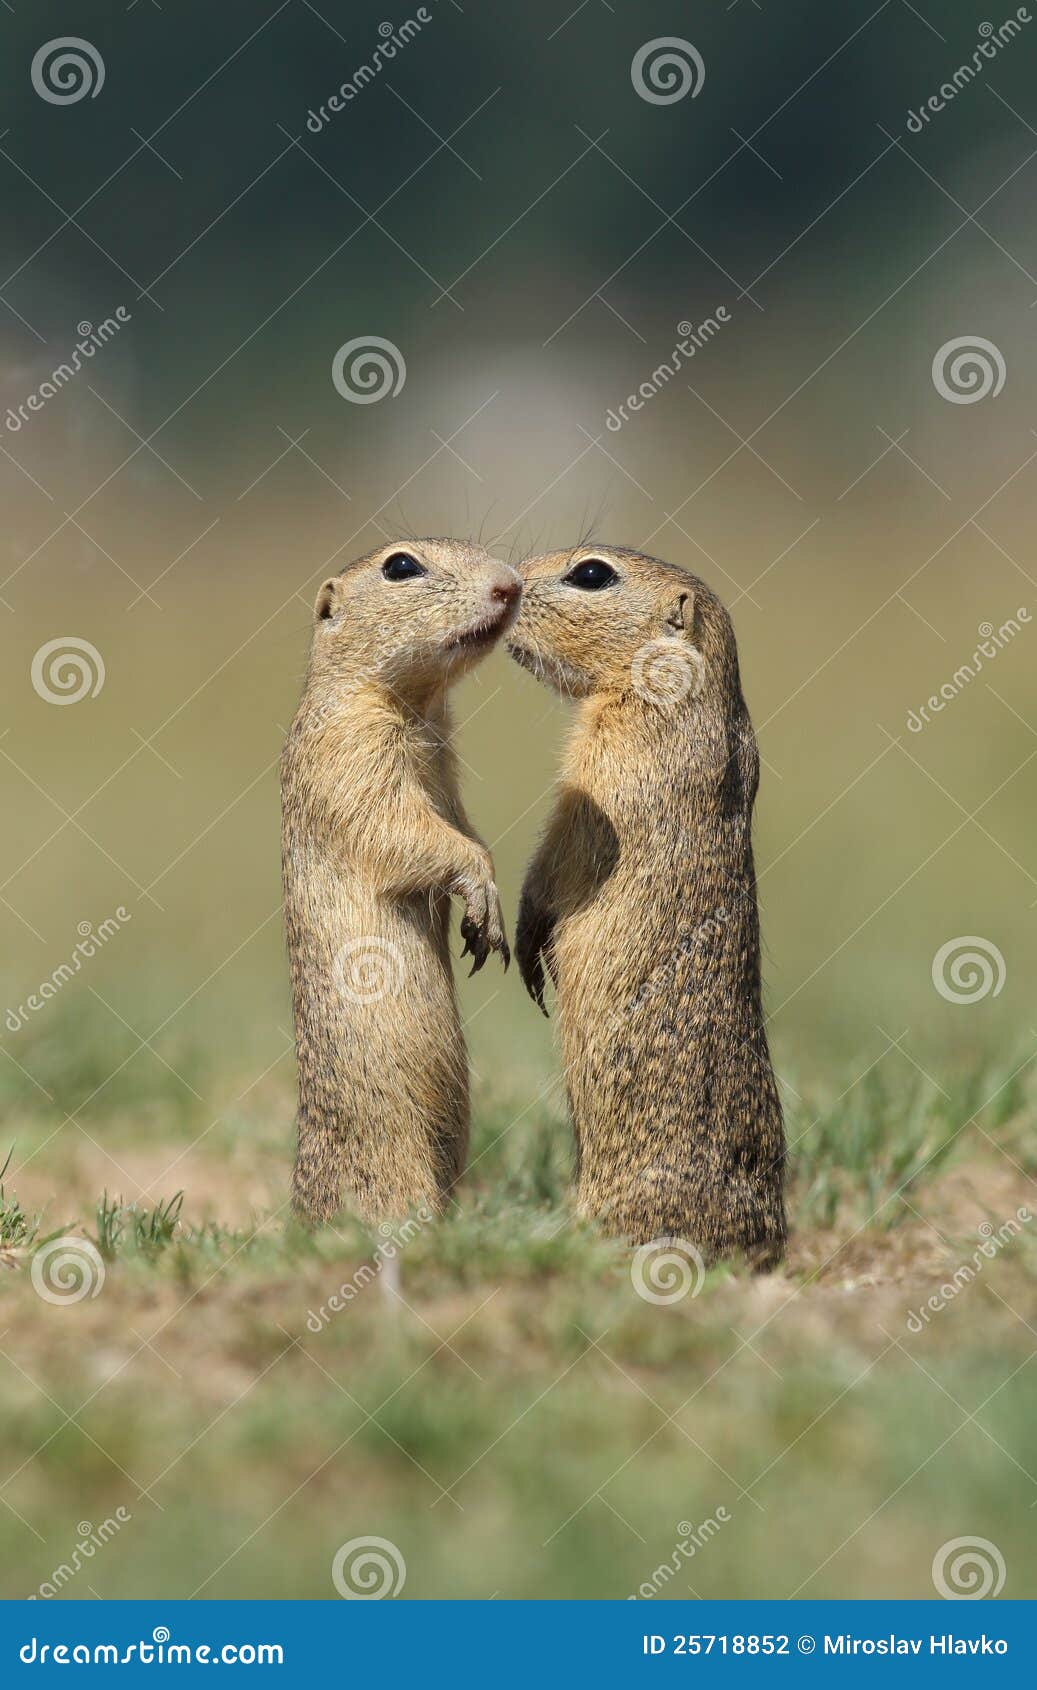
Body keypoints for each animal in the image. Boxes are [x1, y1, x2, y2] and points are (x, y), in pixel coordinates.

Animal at [282, 538, 520, 1227]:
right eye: (401, 567)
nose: (511, 584)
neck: (421, 706)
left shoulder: (447, 770)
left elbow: (461, 824)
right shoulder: (351, 755)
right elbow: (405, 830)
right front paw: (482, 891)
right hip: (395, 1155)